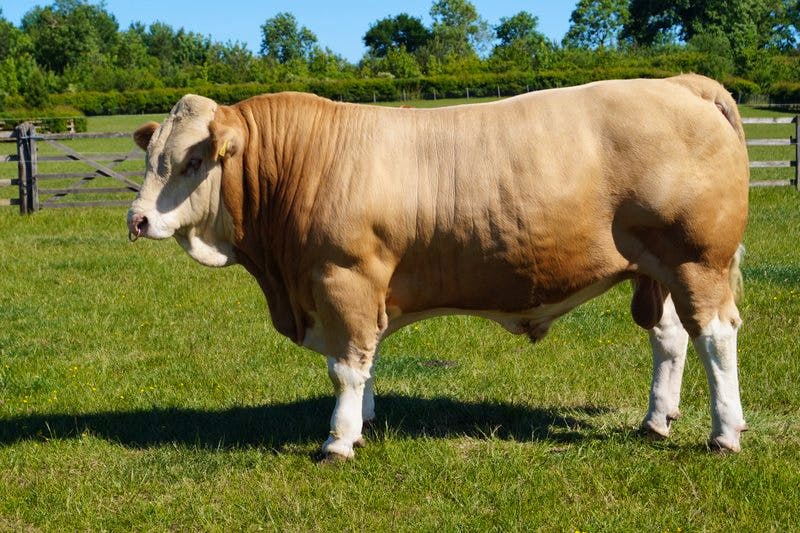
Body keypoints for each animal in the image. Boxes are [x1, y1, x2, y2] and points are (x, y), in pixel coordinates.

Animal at [127, 74, 750, 460]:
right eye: (151, 156)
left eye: (192, 161)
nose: (137, 219)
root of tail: (678, 84)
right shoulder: (353, 292)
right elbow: (364, 359)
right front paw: (364, 424)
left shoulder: (342, 278)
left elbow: (346, 366)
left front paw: (339, 441)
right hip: (656, 269)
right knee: (670, 338)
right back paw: (656, 420)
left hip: (698, 260)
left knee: (715, 337)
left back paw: (724, 433)